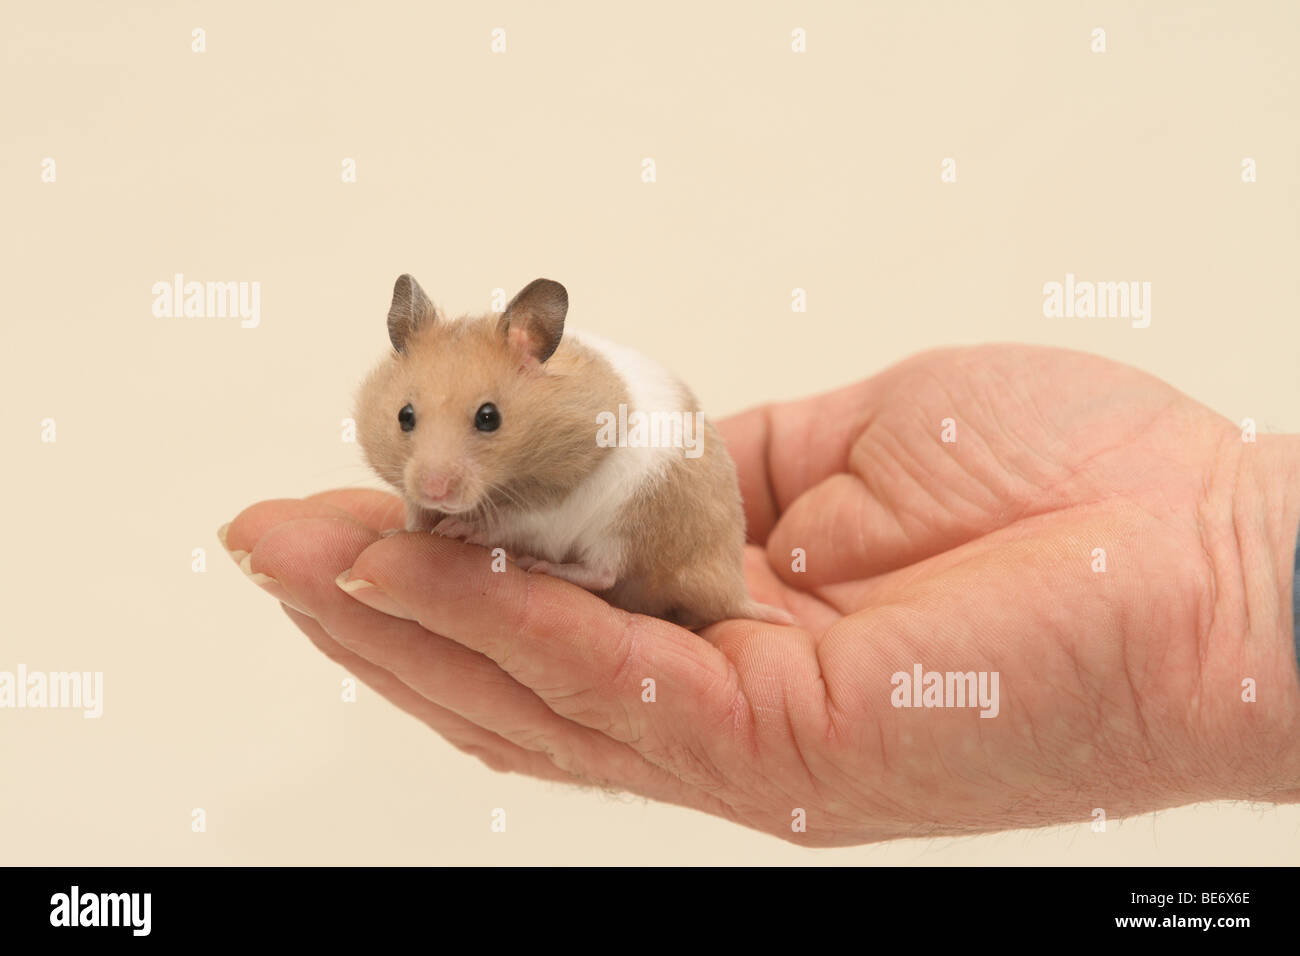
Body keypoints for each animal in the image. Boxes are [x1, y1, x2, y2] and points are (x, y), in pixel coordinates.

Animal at [354, 273, 794, 631]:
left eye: (488, 417)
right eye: (404, 416)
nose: (435, 491)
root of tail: (733, 589)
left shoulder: (551, 505)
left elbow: (508, 522)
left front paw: (456, 531)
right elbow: (415, 516)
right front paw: (398, 531)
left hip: (626, 525)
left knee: (603, 573)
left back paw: (541, 566)